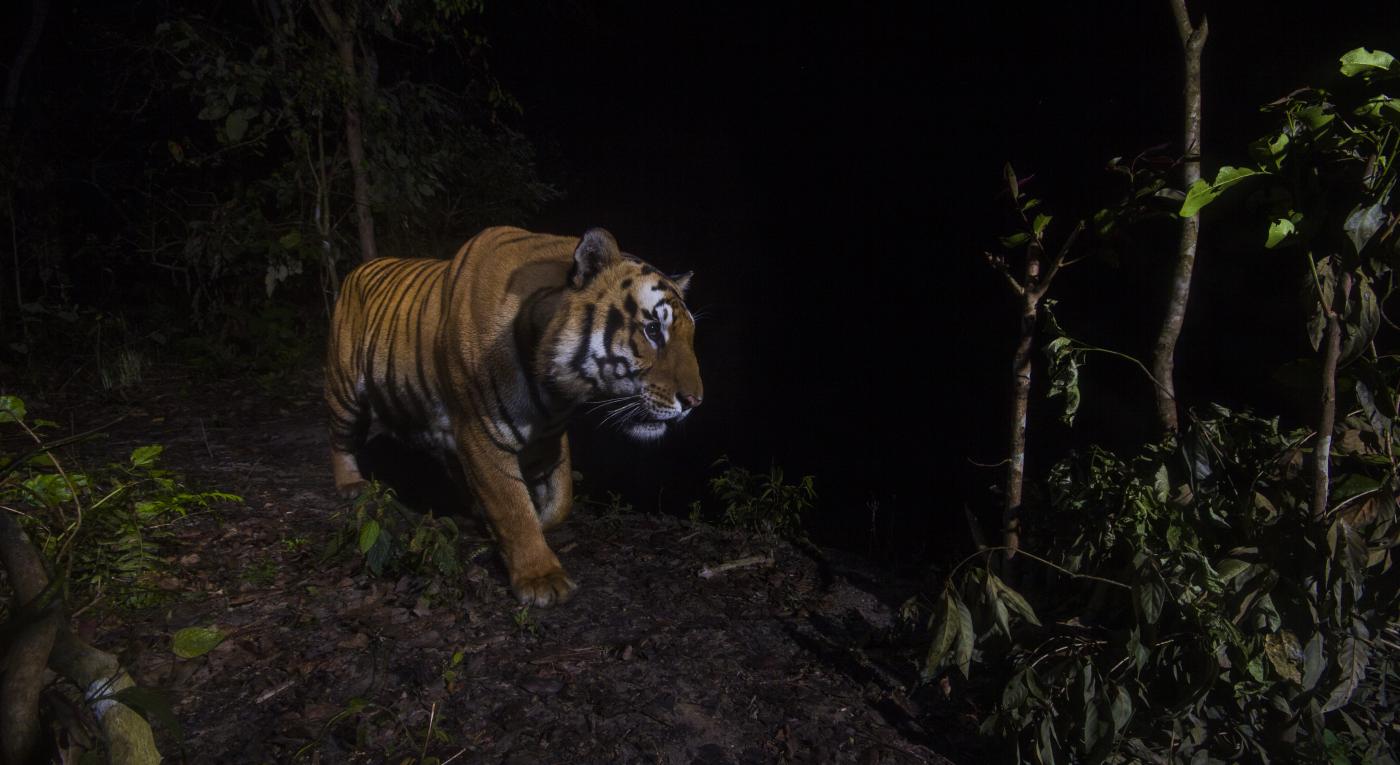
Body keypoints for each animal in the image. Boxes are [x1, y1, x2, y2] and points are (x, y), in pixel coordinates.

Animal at [325, 226, 703, 606]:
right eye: (652, 330)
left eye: (690, 335)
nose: (695, 402)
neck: (554, 389)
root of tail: (359, 268)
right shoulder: (480, 431)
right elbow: (512, 507)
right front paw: (541, 578)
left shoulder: (548, 435)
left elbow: (561, 499)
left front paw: (538, 524)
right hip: (345, 390)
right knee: (338, 439)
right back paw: (350, 485)